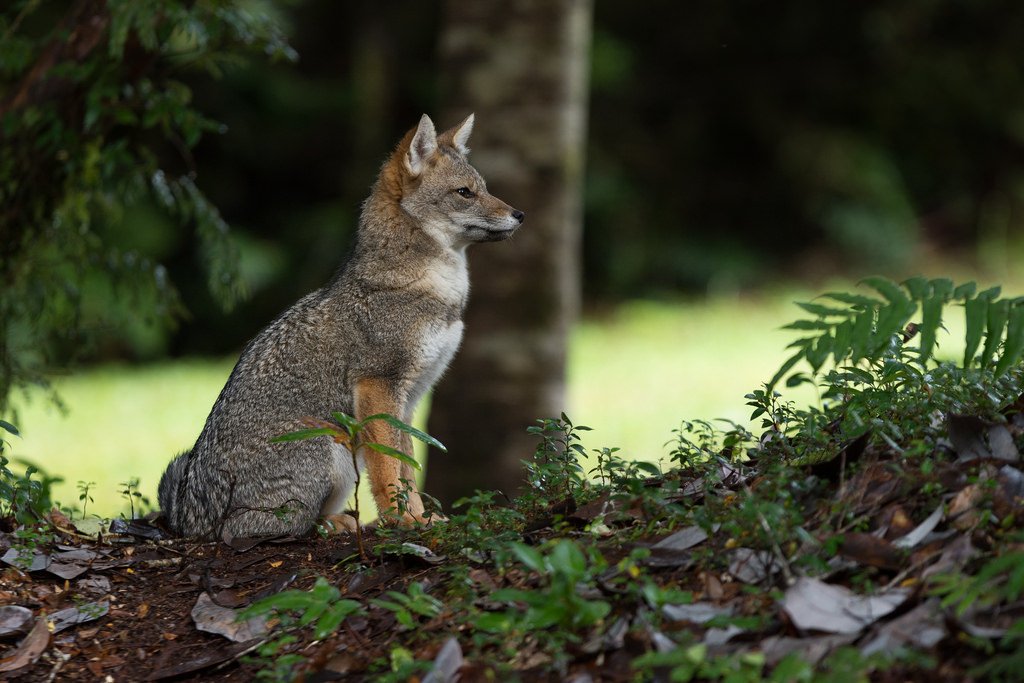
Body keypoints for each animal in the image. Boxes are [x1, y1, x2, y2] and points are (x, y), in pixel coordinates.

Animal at [157, 113, 524, 539]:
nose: (520, 215)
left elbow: (408, 467)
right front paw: (401, 520)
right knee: (276, 527)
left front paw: (421, 517)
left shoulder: (410, 398)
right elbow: (390, 468)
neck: (435, 292)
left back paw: (342, 521)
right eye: (465, 193)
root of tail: (189, 520)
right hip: (330, 442)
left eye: (485, 188)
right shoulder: (377, 387)